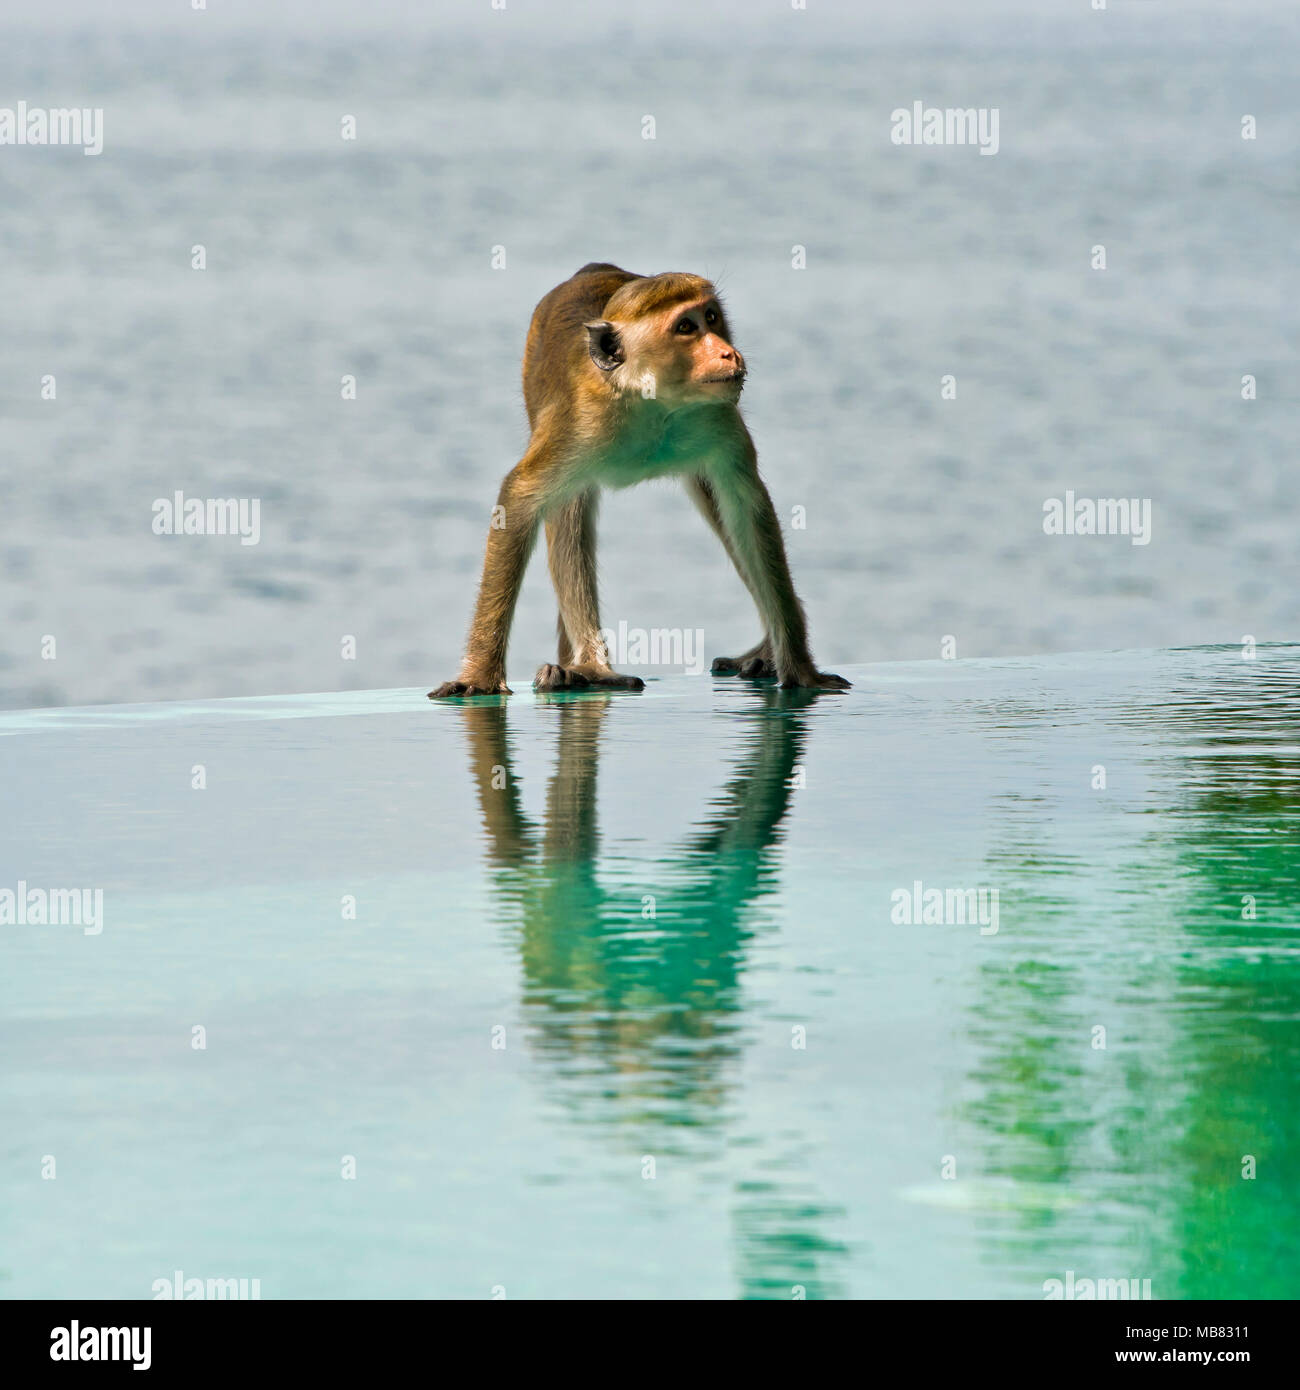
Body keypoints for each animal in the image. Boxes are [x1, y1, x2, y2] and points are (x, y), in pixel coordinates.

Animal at [429, 263, 850, 698]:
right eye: (686, 327)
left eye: (712, 317)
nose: (727, 352)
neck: (653, 402)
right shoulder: (580, 419)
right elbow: (520, 498)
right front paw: (480, 676)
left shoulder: (718, 417)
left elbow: (745, 507)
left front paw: (800, 668)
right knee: (568, 505)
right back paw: (588, 666)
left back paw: (765, 650)